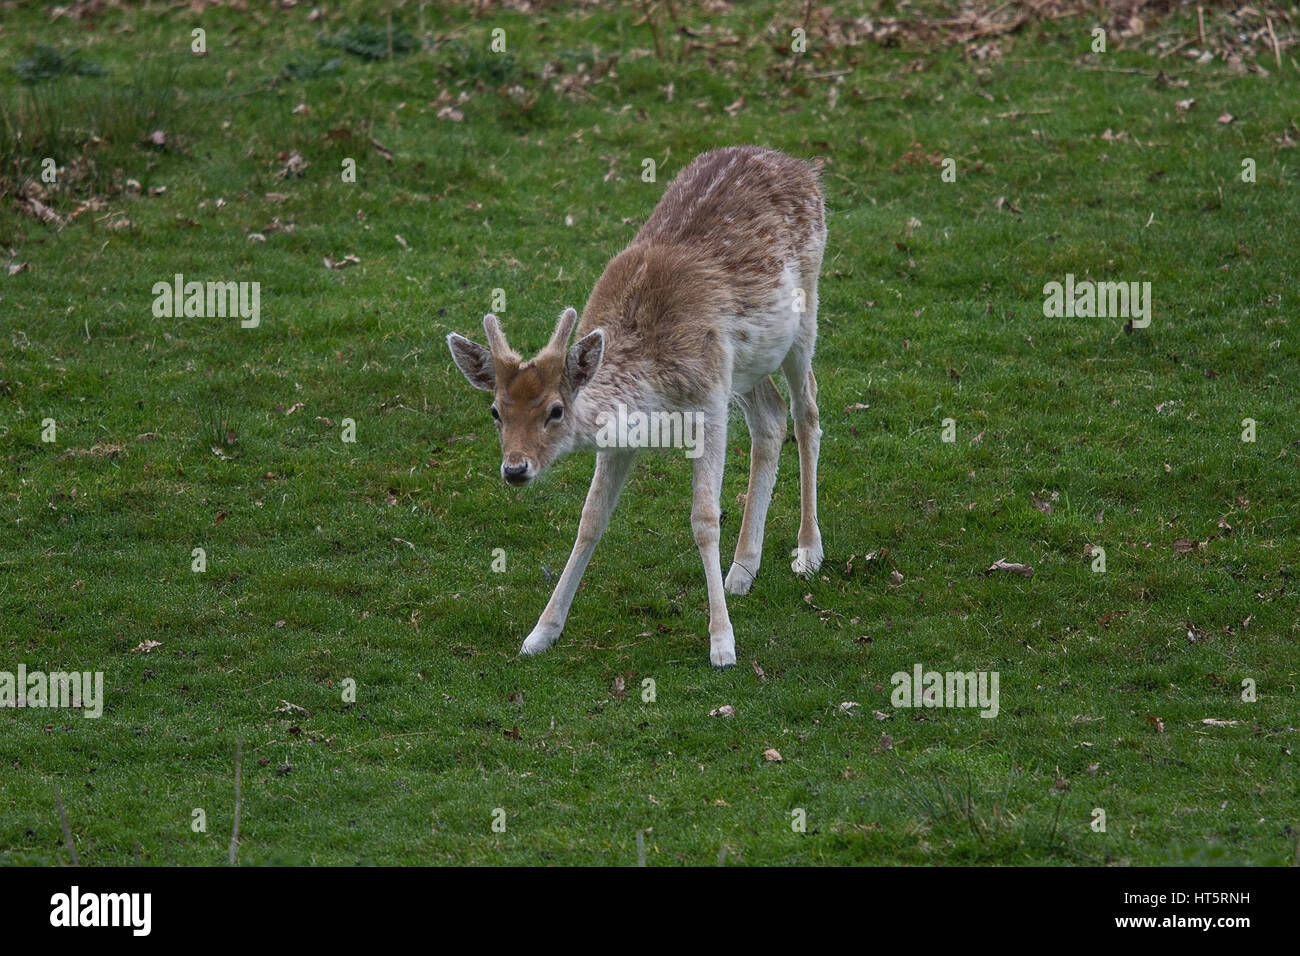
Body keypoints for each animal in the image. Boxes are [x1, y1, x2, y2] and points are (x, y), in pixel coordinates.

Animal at [446, 146, 825, 668]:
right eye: (495, 412)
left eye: (556, 410)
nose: (515, 469)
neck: (654, 390)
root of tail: (800, 164)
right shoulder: (621, 434)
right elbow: (590, 520)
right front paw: (540, 634)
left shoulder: (709, 401)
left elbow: (704, 519)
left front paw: (722, 643)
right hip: (747, 363)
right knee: (770, 417)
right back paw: (742, 571)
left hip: (804, 311)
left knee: (807, 411)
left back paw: (808, 552)